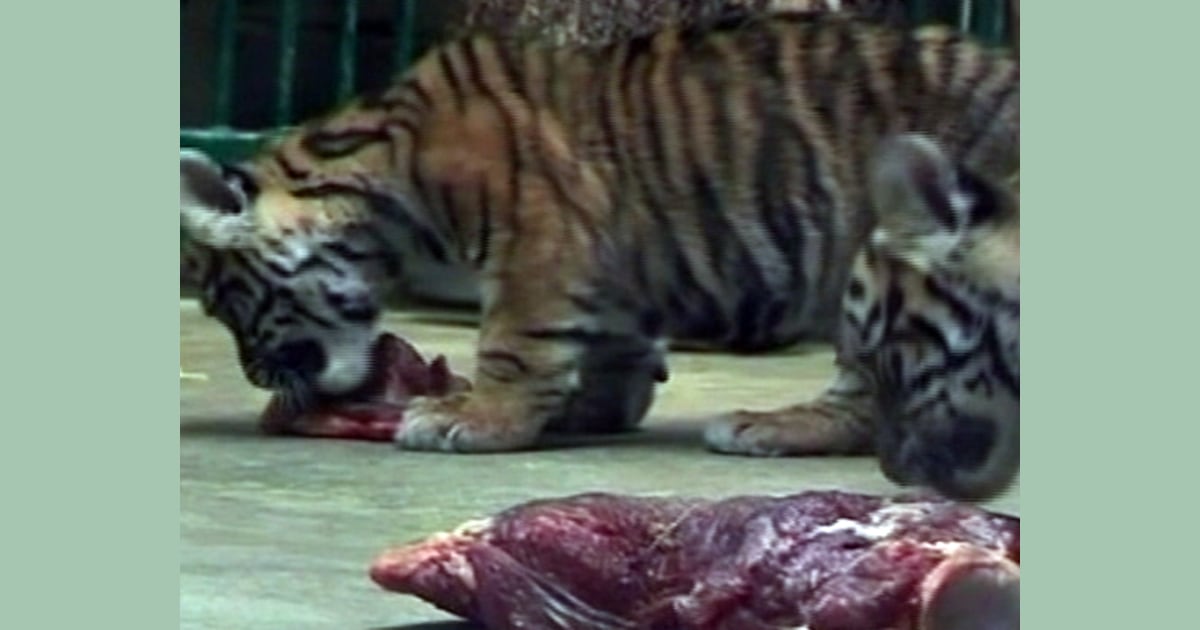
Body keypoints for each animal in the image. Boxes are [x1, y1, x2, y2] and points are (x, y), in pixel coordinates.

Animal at [179, 12, 1018, 491]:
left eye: (228, 304)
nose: (257, 377)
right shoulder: (612, 267)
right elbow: (608, 345)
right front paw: (590, 408)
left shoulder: (536, 238)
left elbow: (515, 342)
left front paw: (475, 418)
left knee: (870, 389)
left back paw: (769, 426)